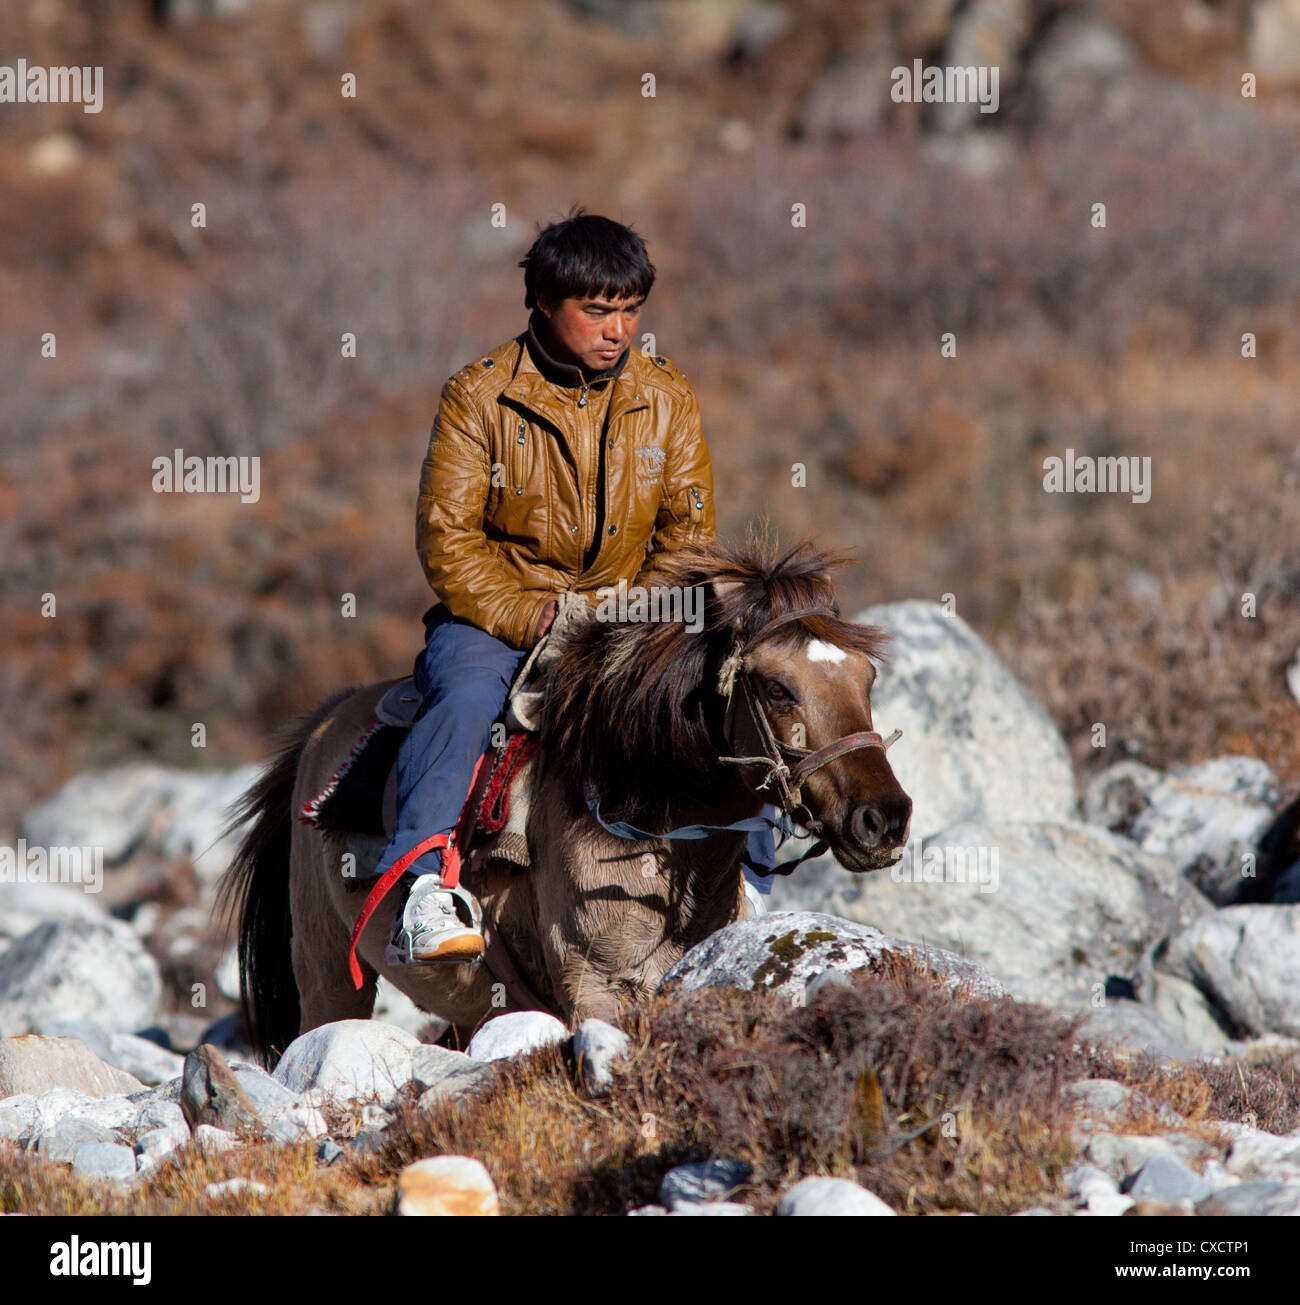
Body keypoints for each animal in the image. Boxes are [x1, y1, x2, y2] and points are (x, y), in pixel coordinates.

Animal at [219, 537, 913, 1065]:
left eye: (868, 678)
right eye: (776, 688)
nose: (884, 820)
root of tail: (321, 727)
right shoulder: (594, 986)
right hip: (327, 972)